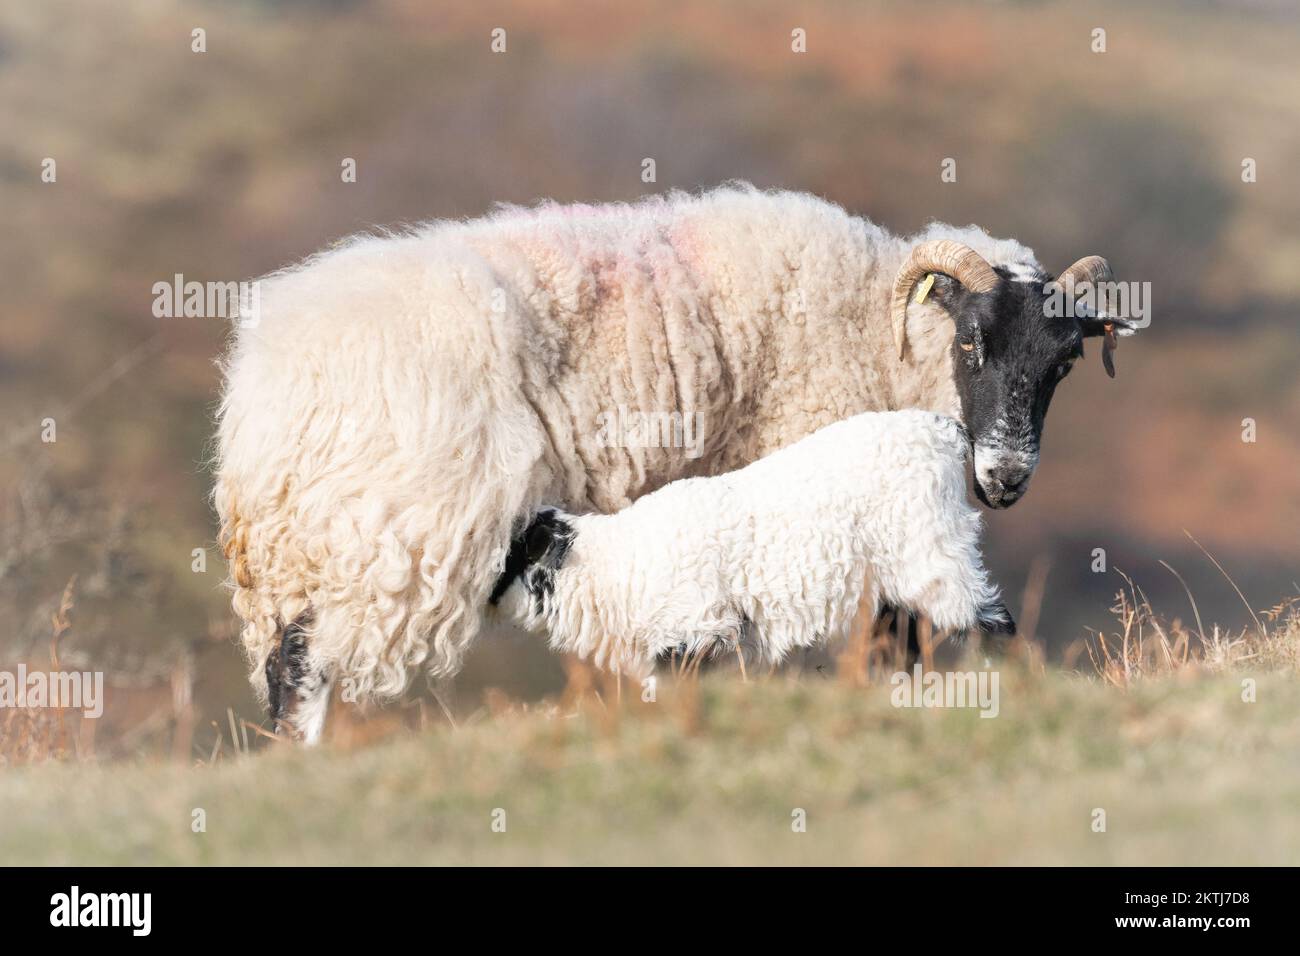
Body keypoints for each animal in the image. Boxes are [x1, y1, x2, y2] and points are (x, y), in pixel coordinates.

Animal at [487, 410, 1015, 677]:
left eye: (508, 552)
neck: (607, 570)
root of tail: (946, 429)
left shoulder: (699, 627)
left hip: (933, 552)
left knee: (990, 620)